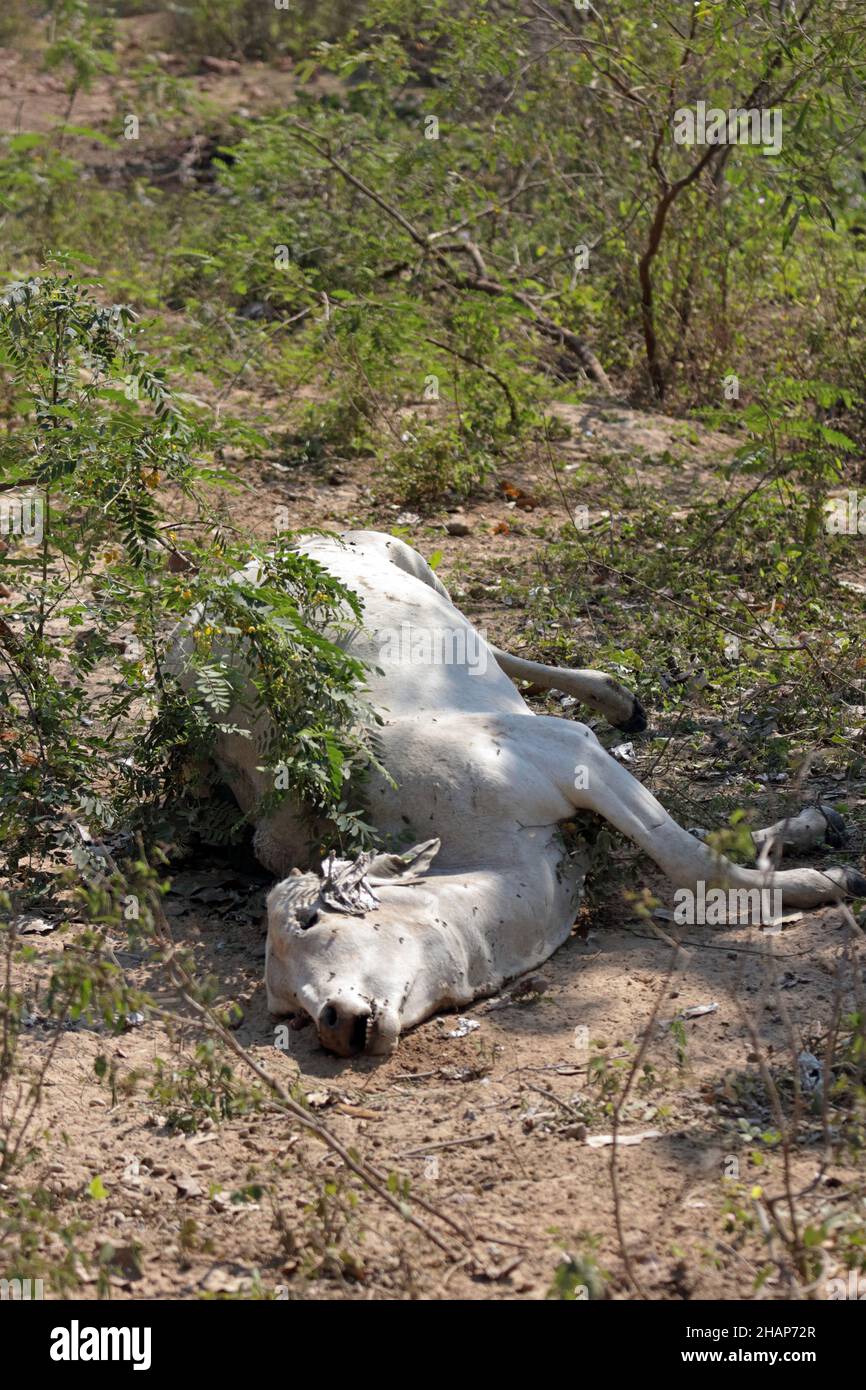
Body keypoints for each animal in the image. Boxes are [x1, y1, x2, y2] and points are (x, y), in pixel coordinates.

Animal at [173, 530, 865, 1056]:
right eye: (286, 1007)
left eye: (312, 920)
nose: (334, 1025)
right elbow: (706, 845)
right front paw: (811, 830)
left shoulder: (569, 754)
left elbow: (691, 861)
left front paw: (826, 880)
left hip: (412, 561)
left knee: (496, 646)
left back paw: (617, 699)